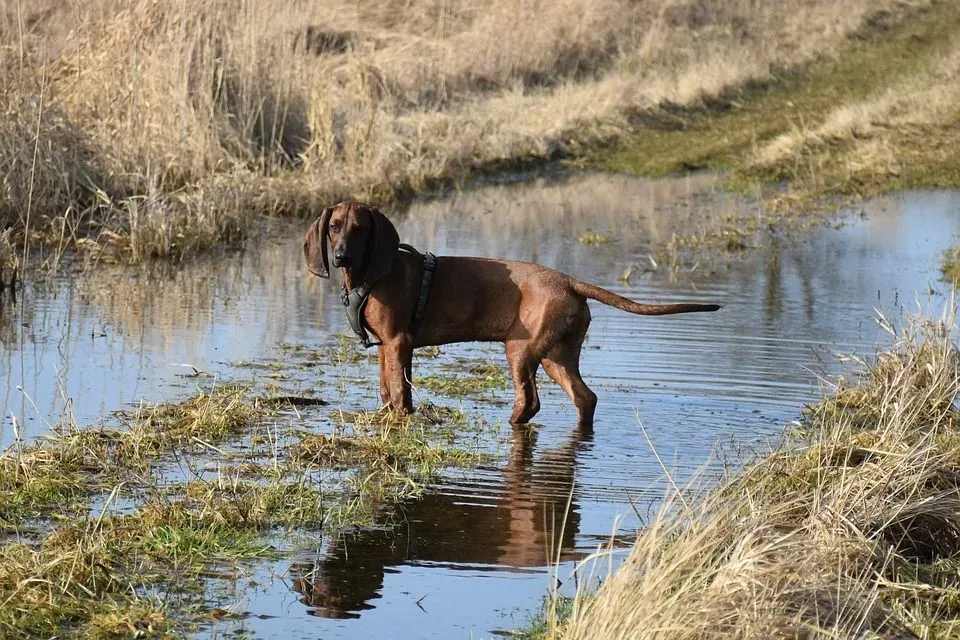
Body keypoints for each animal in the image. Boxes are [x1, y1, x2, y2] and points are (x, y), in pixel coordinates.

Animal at [304, 202, 716, 428]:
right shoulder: (384, 347)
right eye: (334, 228)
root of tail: (569, 281)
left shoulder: (399, 342)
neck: (370, 276)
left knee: (531, 401)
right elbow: (387, 391)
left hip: (521, 350)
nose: (340, 257)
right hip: (557, 354)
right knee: (586, 398)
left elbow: (402, 394)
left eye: (361, 230)